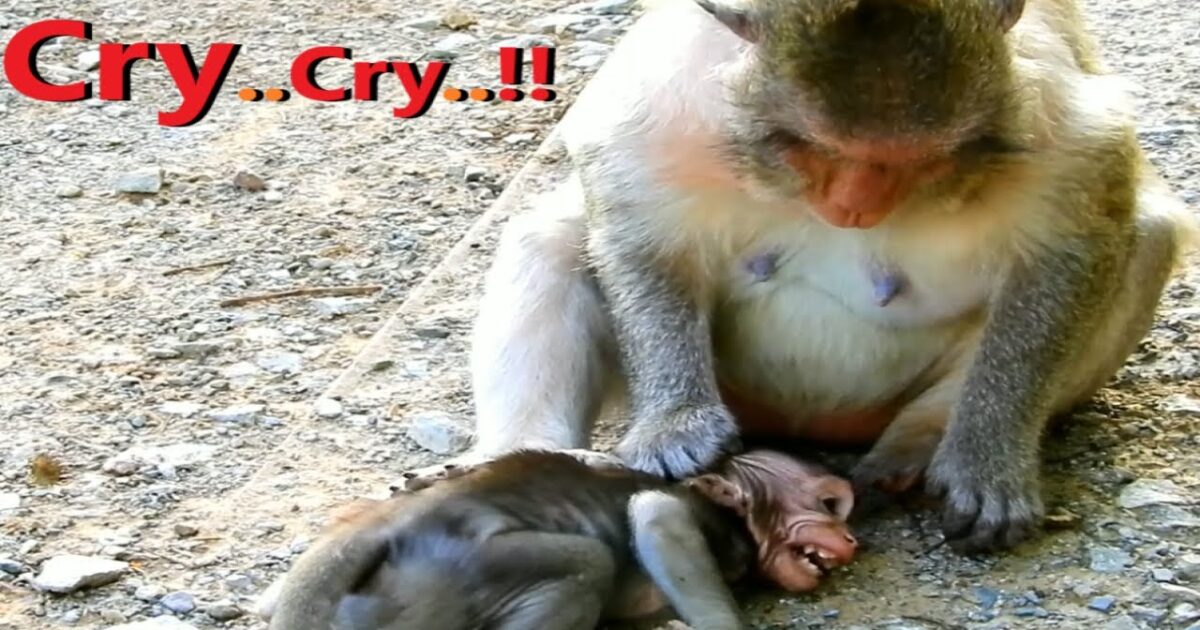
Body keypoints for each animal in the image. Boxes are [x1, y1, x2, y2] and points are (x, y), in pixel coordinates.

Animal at [256, 449, 858, 630]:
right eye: (830, 506)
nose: (850, 536)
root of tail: (389, 525)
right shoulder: (706, 516)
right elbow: (657, 517)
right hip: (444, 582)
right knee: (587, 560)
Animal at [403, 0, 1199, 554]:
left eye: (918, 159)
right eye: (809, 145)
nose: (854, 208)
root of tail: (807, 427)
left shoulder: (1053, 124)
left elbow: (1070, 250)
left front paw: (985, 461)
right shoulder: (664, 97)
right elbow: (637, 229)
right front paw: (675, 421)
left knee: (1146, 237)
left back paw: (918, 441)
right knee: (550, 237)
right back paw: (513, 456)